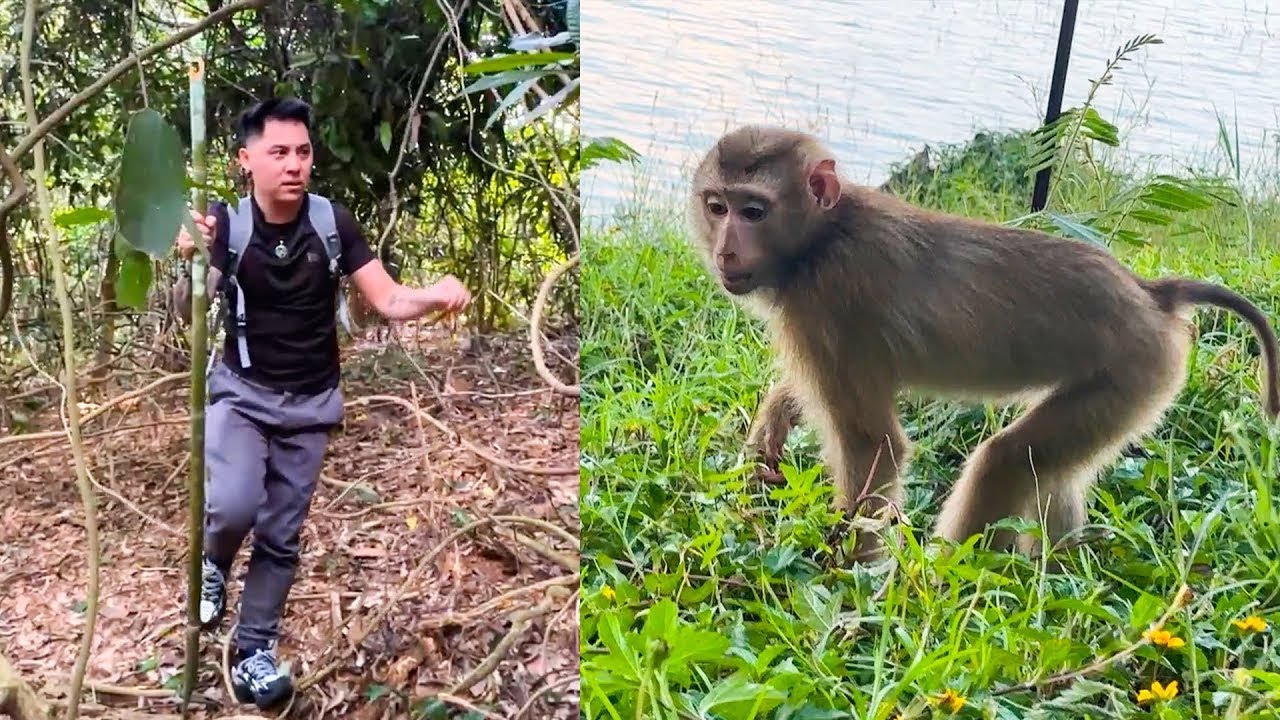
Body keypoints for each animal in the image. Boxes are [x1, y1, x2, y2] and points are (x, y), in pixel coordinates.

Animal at [688, 125, 1280, 563]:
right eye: (717, 207)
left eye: (753, 211)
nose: (726, 252)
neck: (821, 237)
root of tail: (1149, 293)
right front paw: (774, 423)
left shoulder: (828, 304)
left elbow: (876, 448)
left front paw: (846, 578)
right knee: (1051, 470)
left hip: (1138, 369)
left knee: (1008, 460)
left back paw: (934, 584)